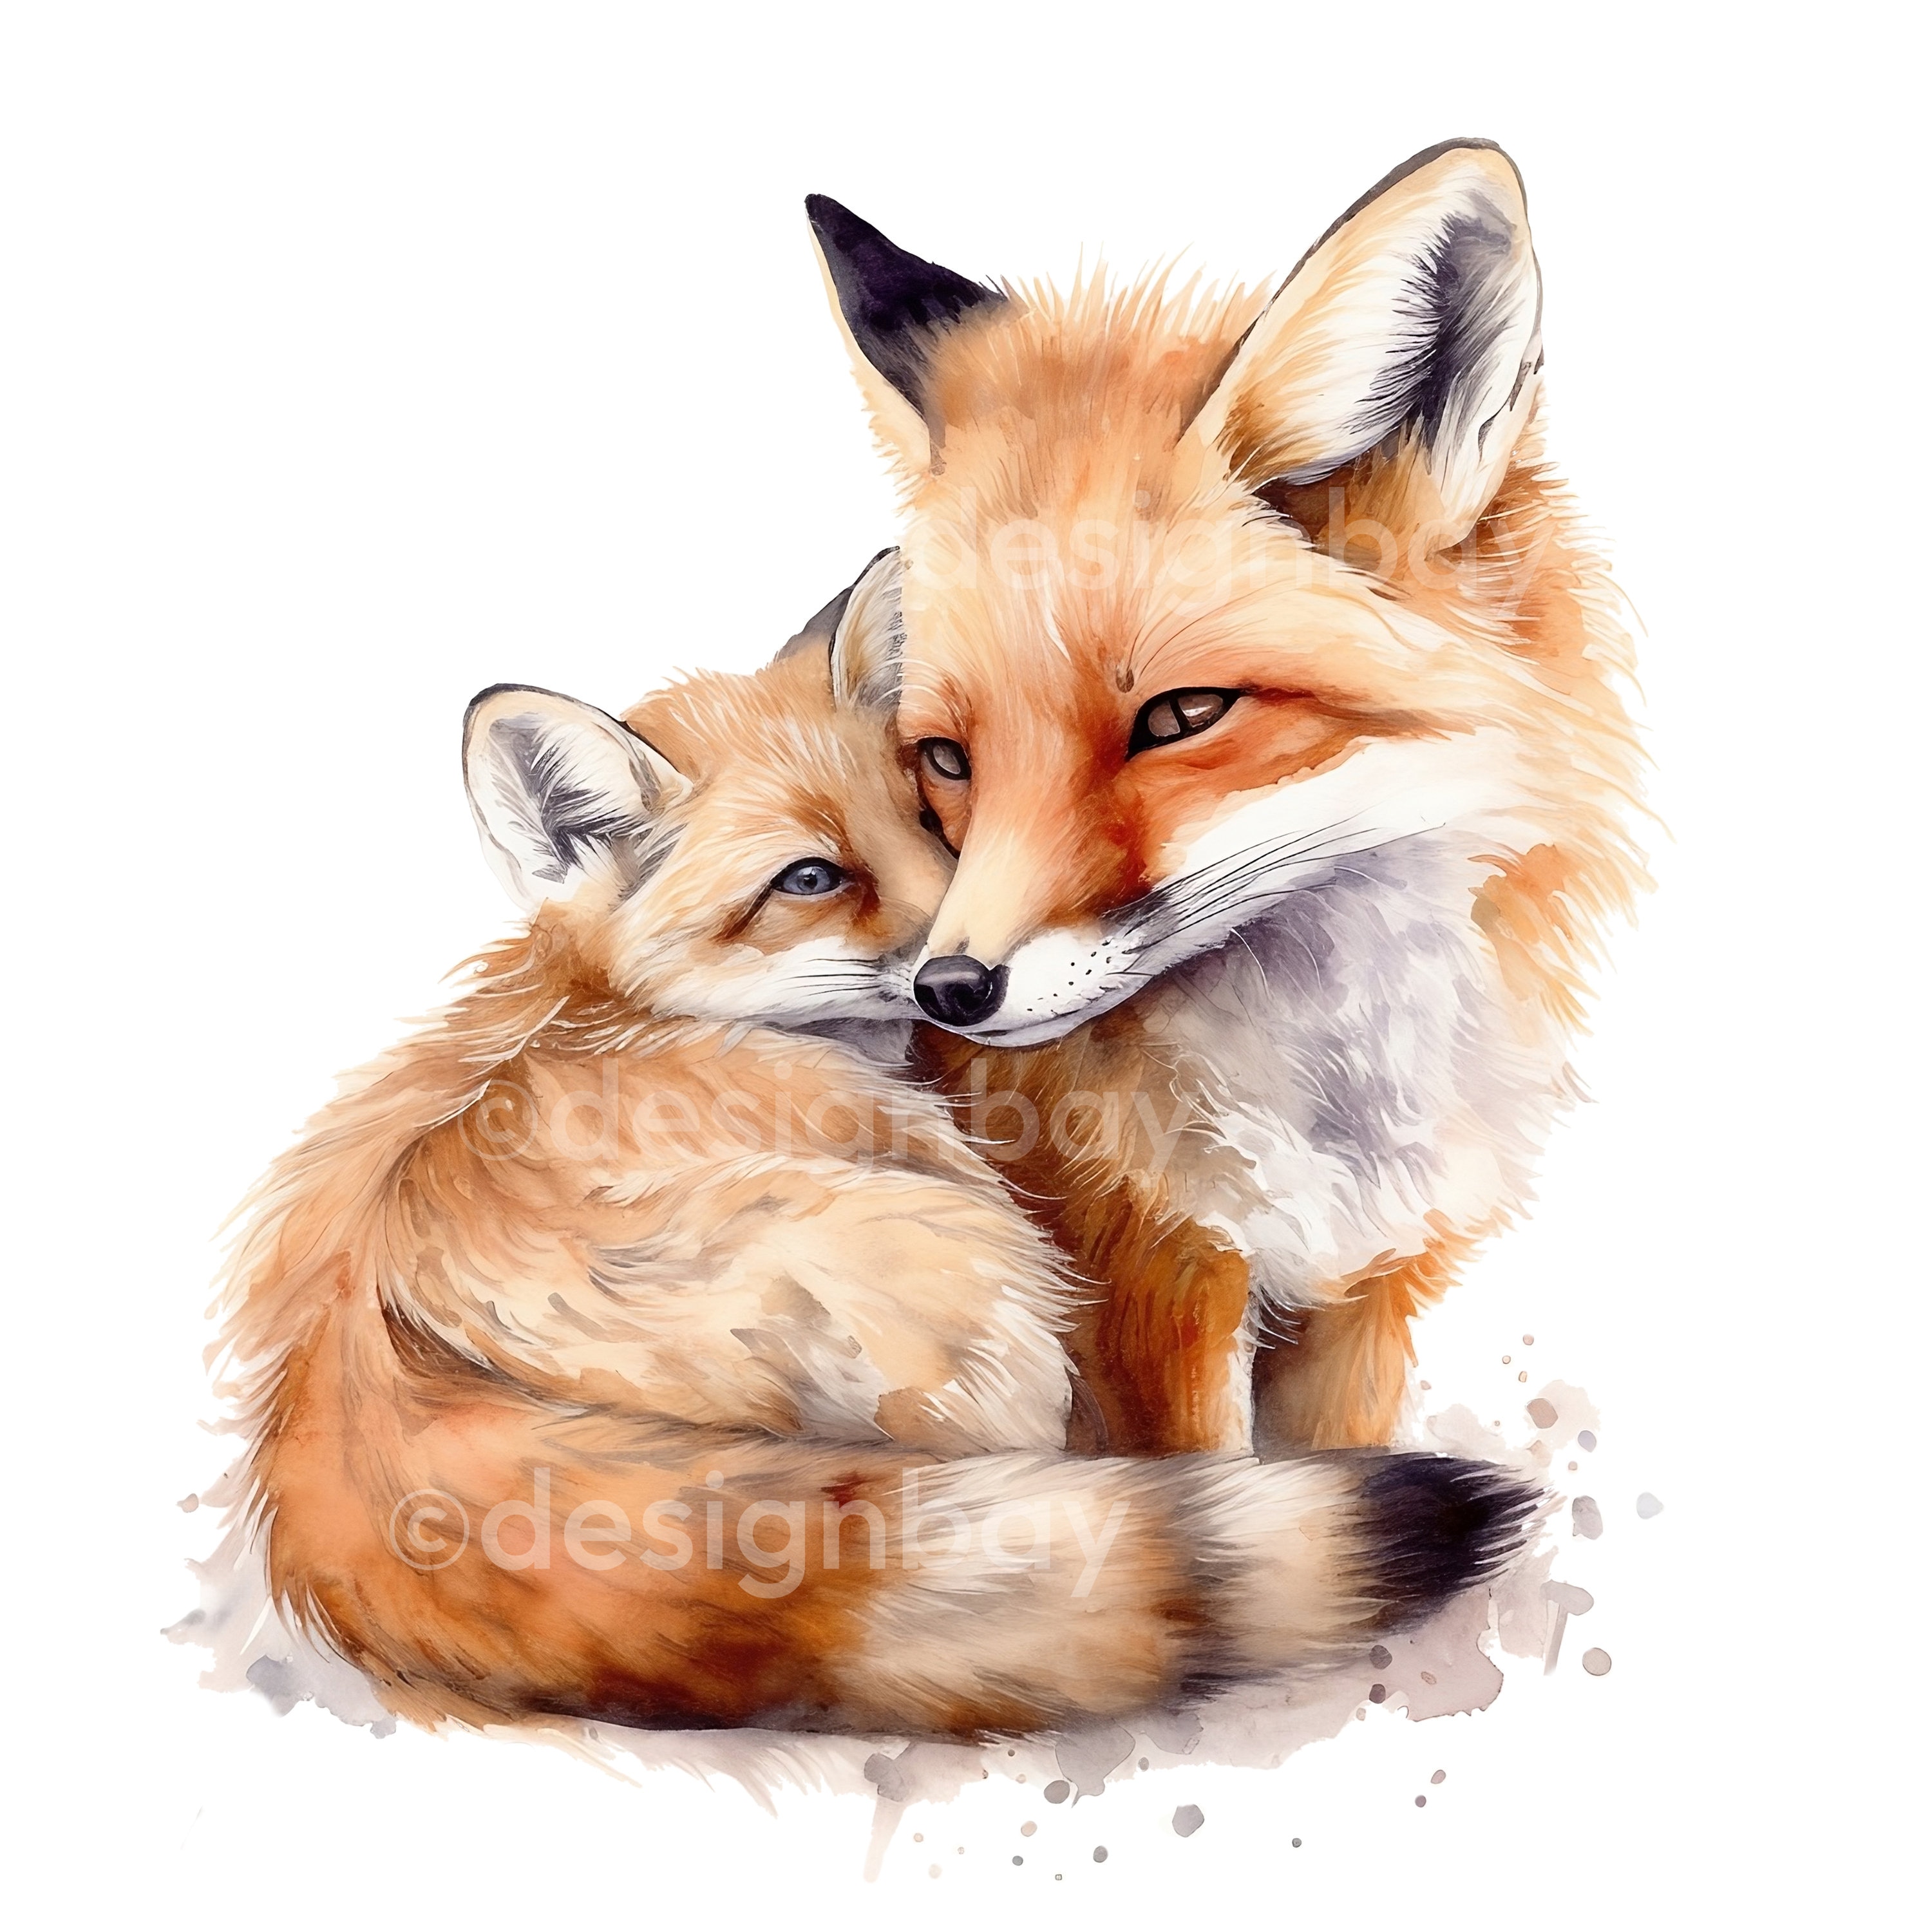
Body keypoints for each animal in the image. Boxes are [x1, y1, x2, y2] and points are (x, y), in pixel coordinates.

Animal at [806, 140, 1647, 1456]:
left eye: (1181, 717)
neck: (1335, 1100)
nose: (950, 991)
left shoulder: (1364, 1291)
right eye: (948, 758)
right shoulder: (1151, 1288)